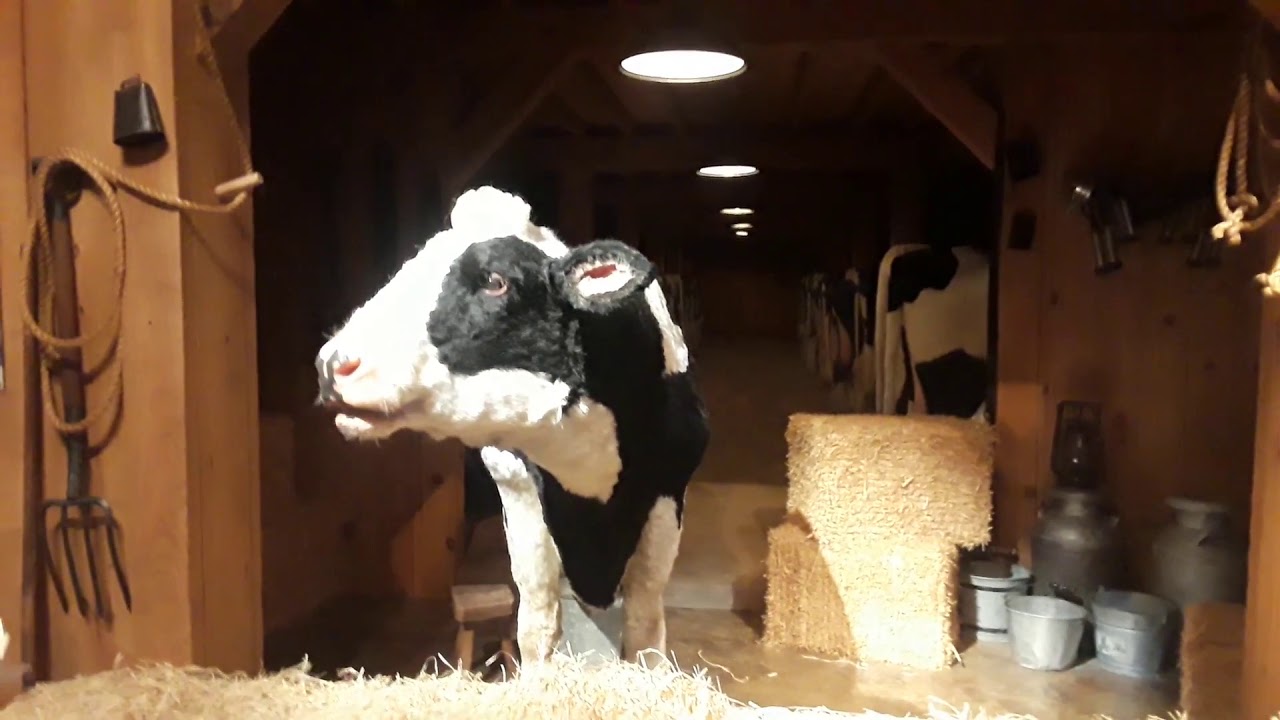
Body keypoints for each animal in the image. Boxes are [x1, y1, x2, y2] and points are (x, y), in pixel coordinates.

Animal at [314, 186, 711, 666]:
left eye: (494, 281)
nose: (332, 364)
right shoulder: (518, 489)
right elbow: (537, 620)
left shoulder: (668, 494)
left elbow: (645, 628)